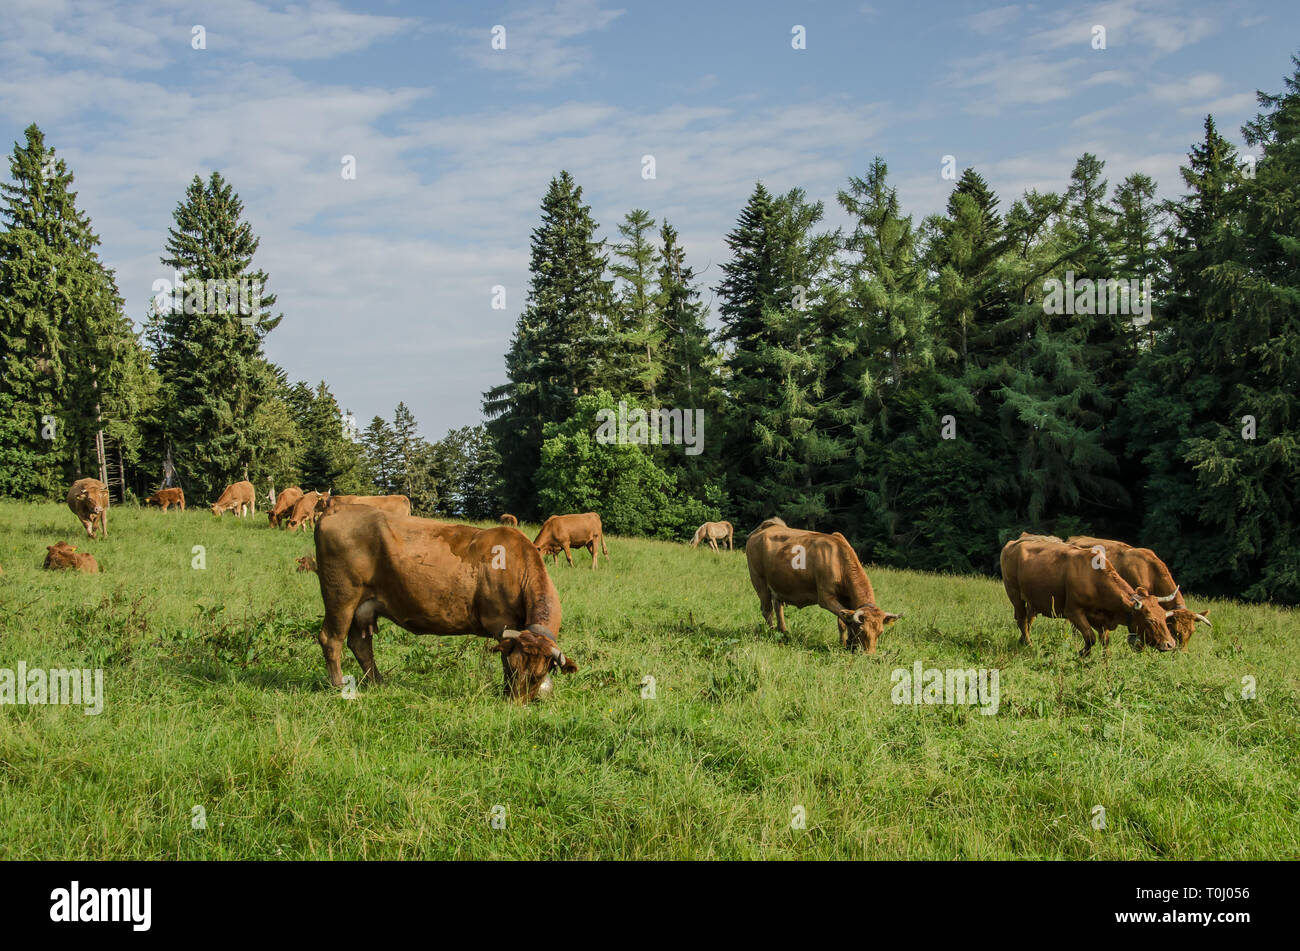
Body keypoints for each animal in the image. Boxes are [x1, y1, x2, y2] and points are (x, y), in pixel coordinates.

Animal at [314, 505, 577, 703]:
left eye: (537, 675)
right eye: (515, 668)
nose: (516, 702)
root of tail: (337, 509)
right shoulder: (501, 623)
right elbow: (503, 657)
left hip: (364, 606)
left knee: (360, 644)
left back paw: (378, 682)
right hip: (341, 597)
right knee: (331, 639)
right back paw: (339, 685)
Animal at [745, 518, 902, 653]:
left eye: (880, 632)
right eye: (863, 631)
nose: (870, 655)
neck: (839, 562)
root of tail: (767, 526)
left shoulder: (845, 599)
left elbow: (843, 621)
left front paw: (846, 644)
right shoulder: (826, 598)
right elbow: (846, 619)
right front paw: (848, 644)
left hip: (778, 585)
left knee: (778, 607)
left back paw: (784, 632)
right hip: (759, 581)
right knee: (767, 610)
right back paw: (773, 634)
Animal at [1001, 535, 1178, 656]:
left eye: (1164, 617)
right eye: (1149, 620)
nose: (1170, 644)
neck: (1095, 579)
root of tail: (1014, 543)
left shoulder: (1102, 619)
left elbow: (1105, 641)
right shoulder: (1073, 612)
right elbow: (1090, 637)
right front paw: (1081, 654)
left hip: (1033, 601)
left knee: (1028, 620)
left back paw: (1023, 641)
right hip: (1015, 594)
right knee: (1021, 619)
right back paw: (1029, 645)